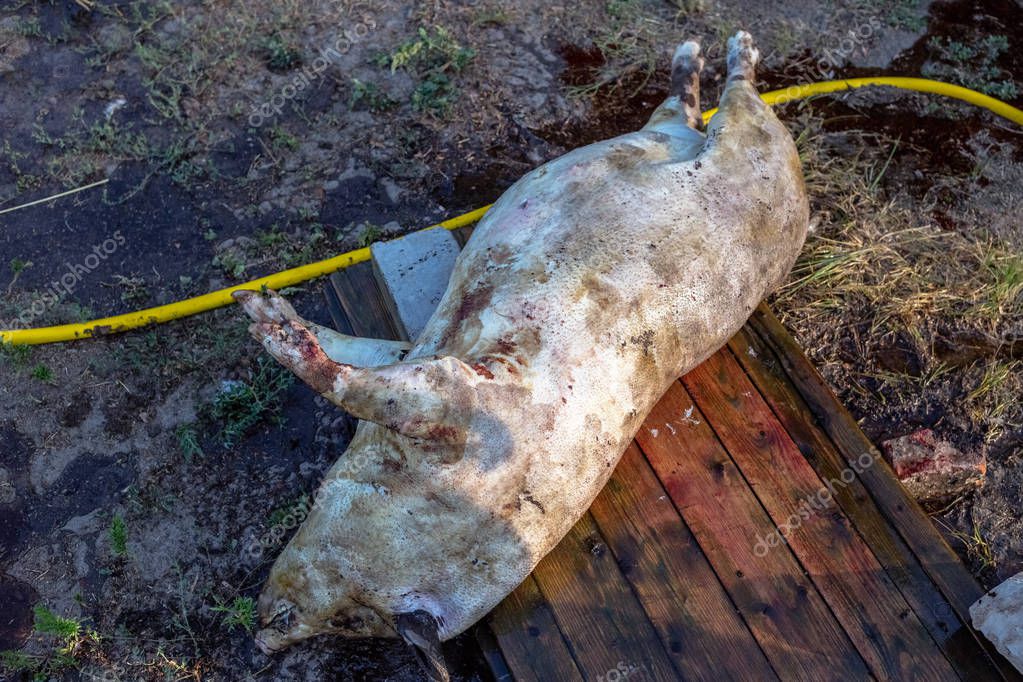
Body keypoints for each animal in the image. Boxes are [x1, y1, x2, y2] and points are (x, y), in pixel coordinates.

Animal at [235, 30, 808, 674]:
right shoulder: (421, 353)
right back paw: (689, 50)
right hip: (678, 130)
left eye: (352, 620)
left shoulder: (465, 404)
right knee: (679, 107)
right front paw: (252, 300)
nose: (260, 641)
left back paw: (740, 46)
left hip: (755, 139)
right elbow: (371, 353)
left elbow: (372, 387)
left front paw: (266, 325)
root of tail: (804, 189)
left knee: (740, 95)